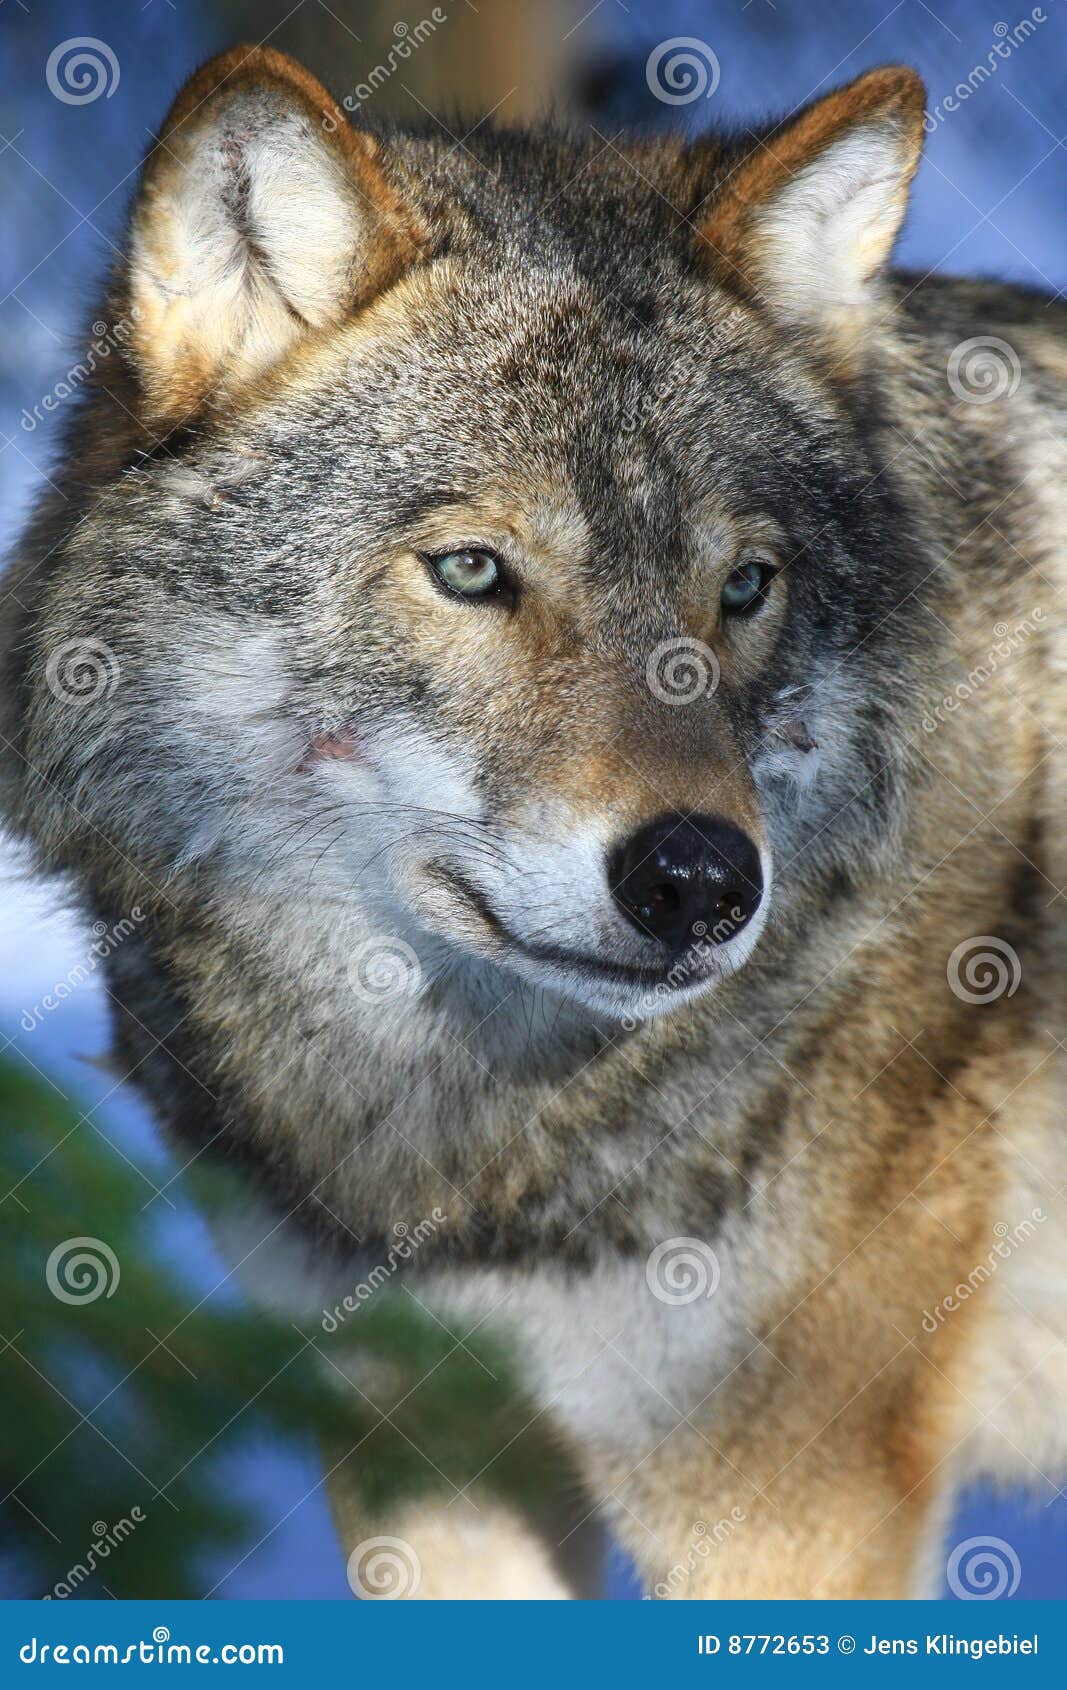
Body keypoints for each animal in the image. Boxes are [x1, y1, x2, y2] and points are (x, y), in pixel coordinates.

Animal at [2, 46, 1066, 1598]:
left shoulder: (785, 1502)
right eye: (470, 570)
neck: (466, 1150)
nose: (697, 882)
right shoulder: (417, 1442)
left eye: (742, 588)